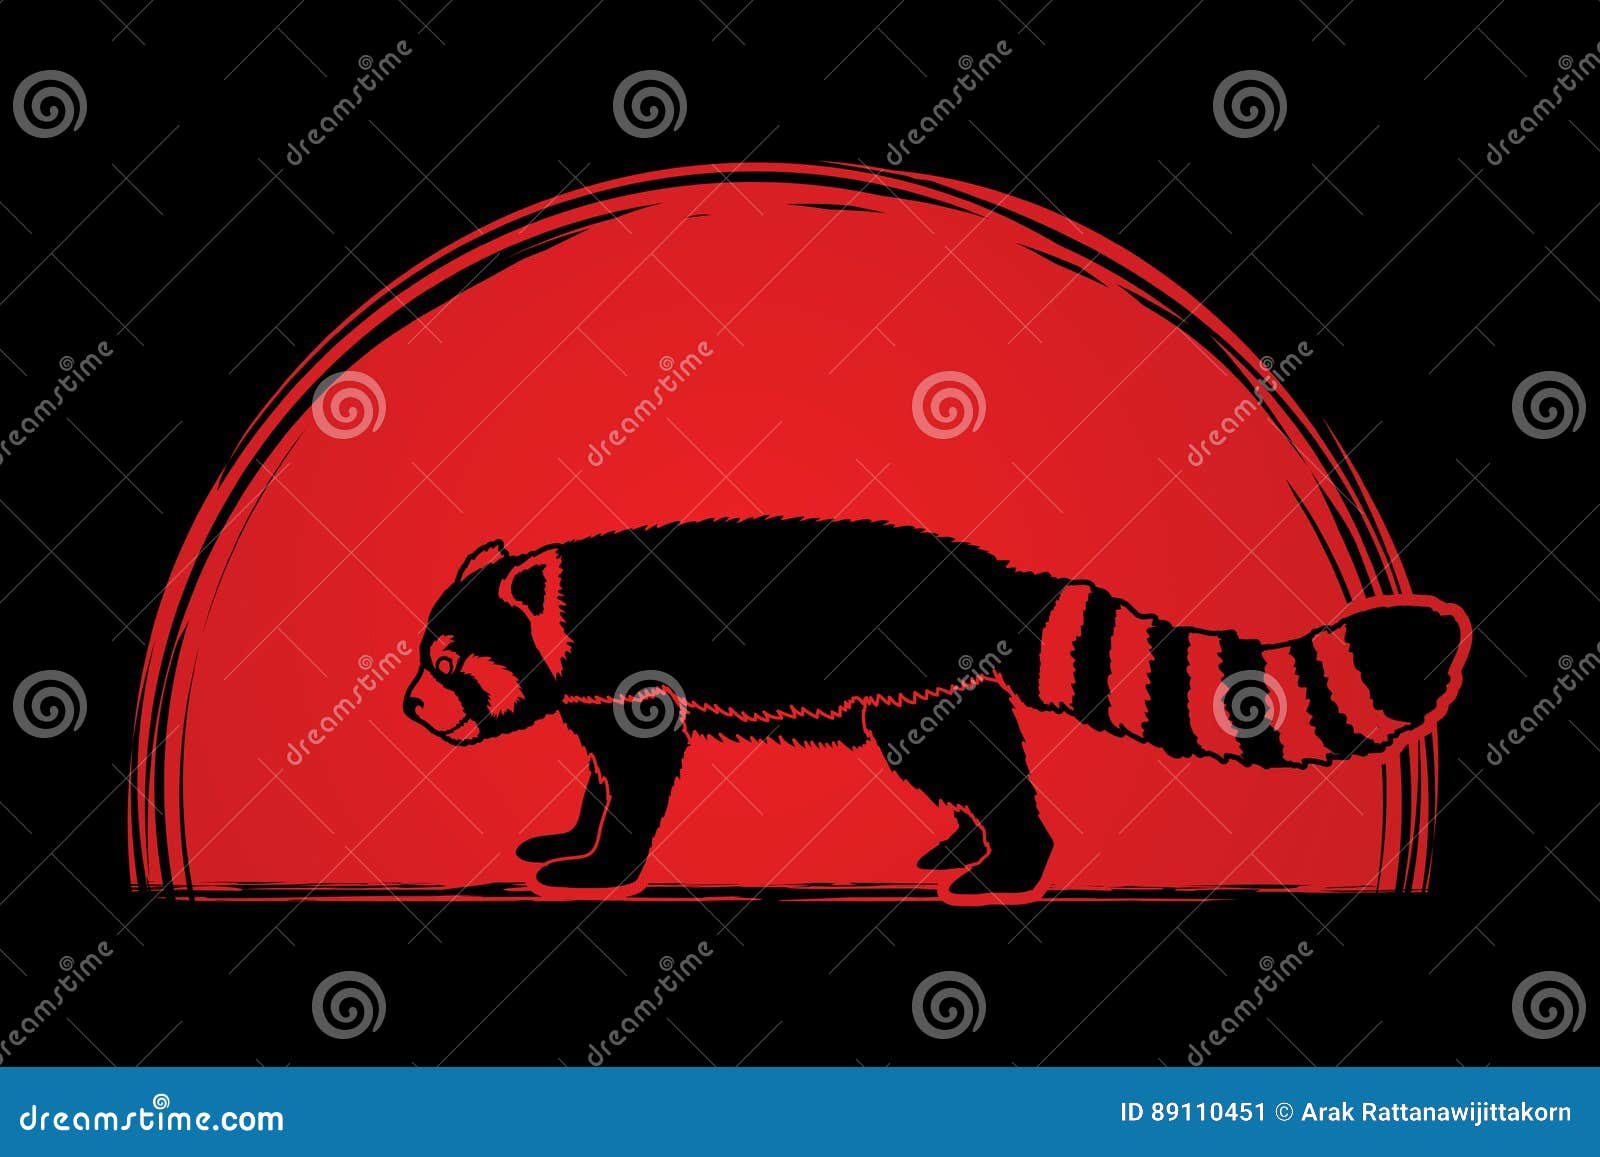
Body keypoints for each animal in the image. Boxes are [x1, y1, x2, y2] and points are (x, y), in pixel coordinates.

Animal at [403, 516, 1468, 900]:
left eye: (449, 660)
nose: (412, 703)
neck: (568, 610)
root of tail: (979, 571)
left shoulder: (631, 677)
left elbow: (635, 777)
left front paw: (602, 866)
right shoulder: (588, 695)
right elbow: (597, 777)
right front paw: (568, 837)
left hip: (910, 680)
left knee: (968, 763)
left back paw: (1008, 866)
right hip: (936, 686)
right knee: (981, 758)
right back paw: (968, 843)